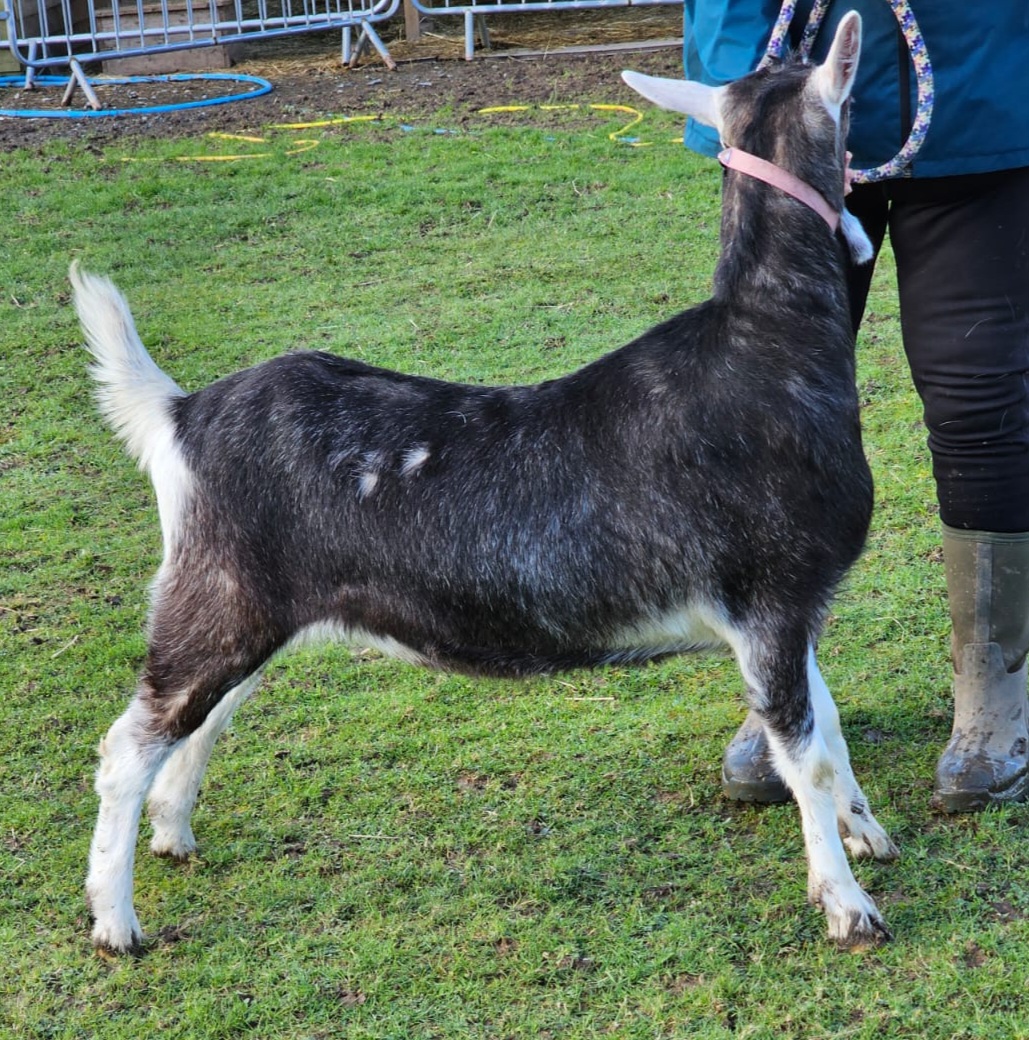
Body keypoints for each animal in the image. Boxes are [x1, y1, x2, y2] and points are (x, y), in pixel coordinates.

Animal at [74, 10, 896, 954]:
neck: (765, 345)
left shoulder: (794, 608)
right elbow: (806, 756)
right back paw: (115, 919)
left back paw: (172, 833)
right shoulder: (768, 599)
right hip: (213, 602)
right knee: (128, 746)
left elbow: (828, 733)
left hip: (254, 607)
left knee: (201, 720)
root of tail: (180, 414)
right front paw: (846, 907)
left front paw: (867, 834)